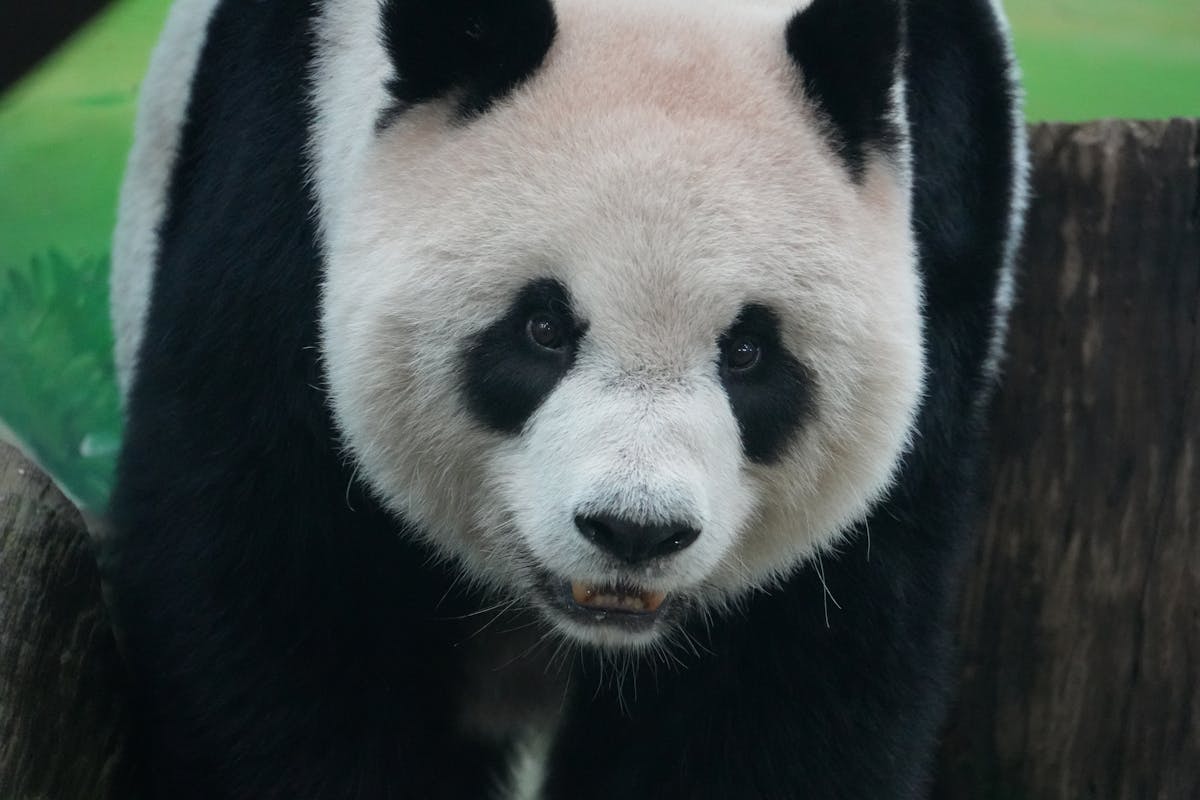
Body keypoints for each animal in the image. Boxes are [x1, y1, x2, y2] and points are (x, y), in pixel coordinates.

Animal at [106, 0, 1028, 797]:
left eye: (748, 352)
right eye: (543, 328)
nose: (634, 531)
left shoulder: (943, 225)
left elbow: (799, 673)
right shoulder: (280, 187)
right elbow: (277, 604)